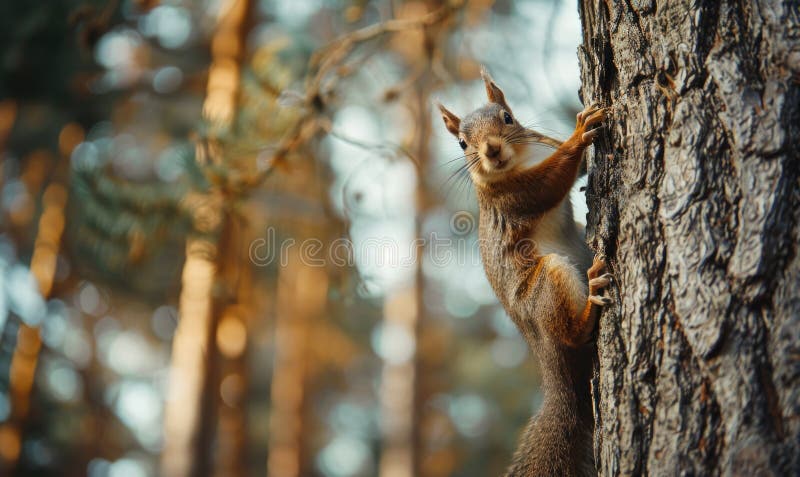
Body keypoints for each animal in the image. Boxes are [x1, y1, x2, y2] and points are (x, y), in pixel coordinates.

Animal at [437, 68, 611, 477]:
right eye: (462, 143)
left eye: (507, 118)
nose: (491, 150)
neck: (519, 161)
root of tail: (556, 379)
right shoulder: (513, 199)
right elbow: (549, 184)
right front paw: (580, 132)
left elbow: (578, 168)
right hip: (547, 283)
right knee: (571, 334)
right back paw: (591, 298)